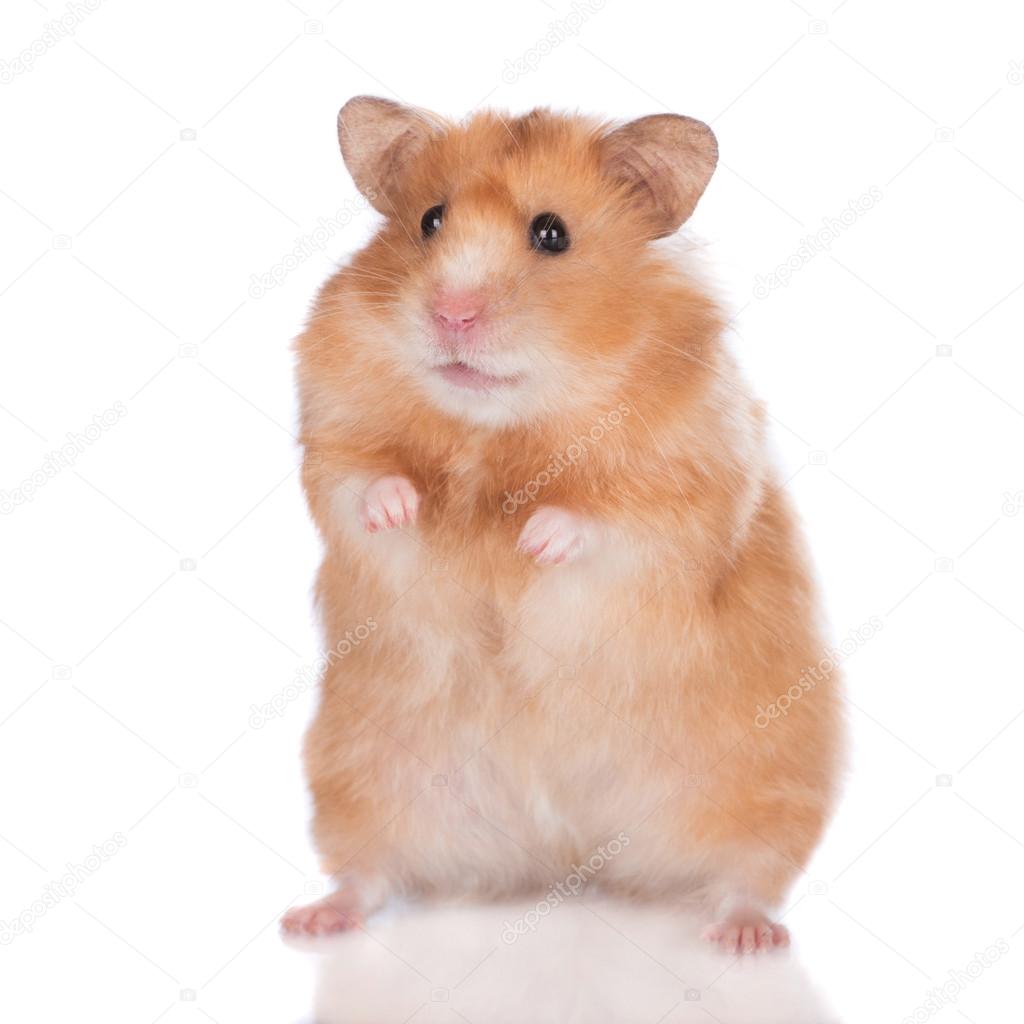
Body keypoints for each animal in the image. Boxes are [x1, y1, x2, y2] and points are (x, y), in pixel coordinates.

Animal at [281, 96, 844, 954]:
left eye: (552, 233)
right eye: (430, 221)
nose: (449, 314)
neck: (506, 425)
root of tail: (573, 854)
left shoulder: (688, 483)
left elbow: (610, 519)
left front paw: (533, 539)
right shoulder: (332, 427)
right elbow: (359, 482)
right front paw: (407, 505)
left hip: (767, 778)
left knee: (748, 874)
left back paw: (745, 938)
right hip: (361, 773)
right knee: (368, 872)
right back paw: (313, 921)